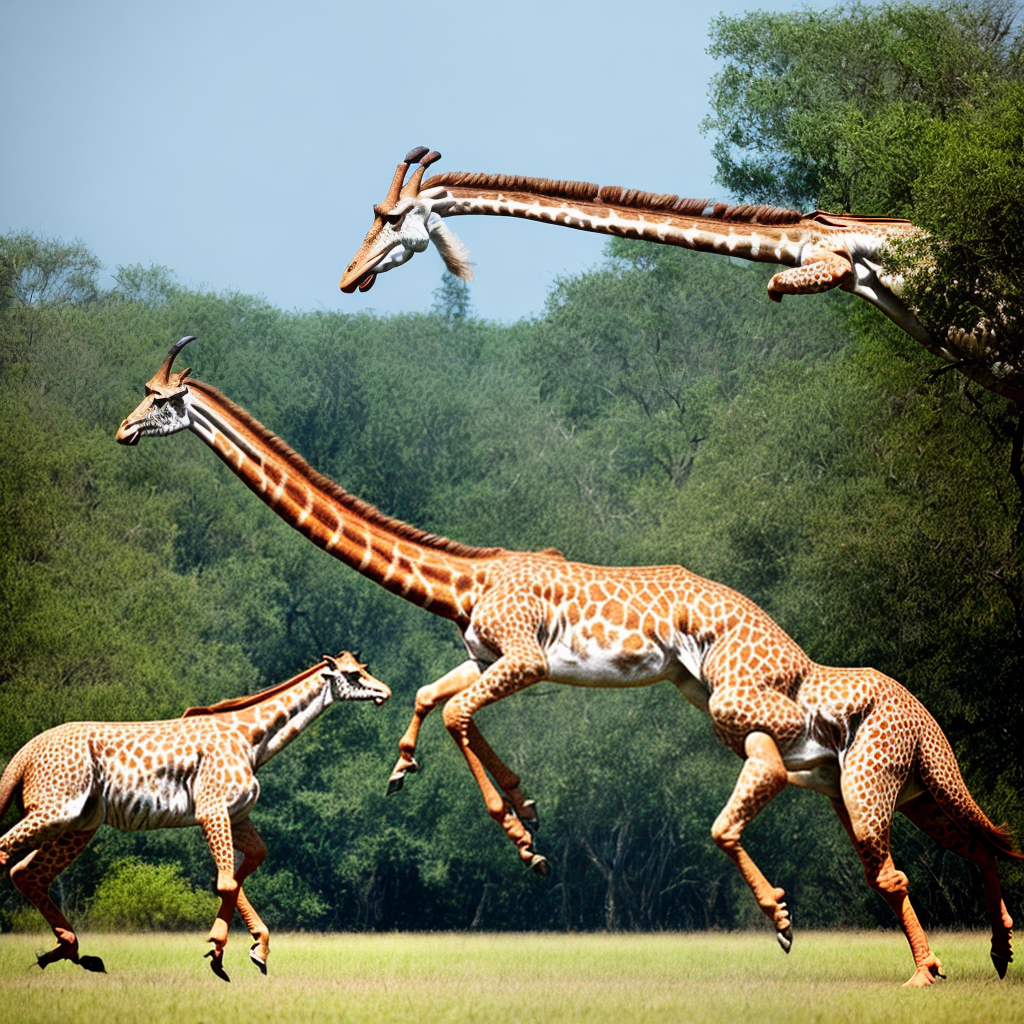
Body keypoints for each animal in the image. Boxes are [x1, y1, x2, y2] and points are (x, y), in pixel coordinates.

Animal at [0, 652, 389, 979]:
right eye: (354, 674)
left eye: (364, 667)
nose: (384, 692)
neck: (252, 740)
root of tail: (23, 756)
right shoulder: (211, 809)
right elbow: (227, 882)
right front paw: (219, 950)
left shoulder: (236, 815)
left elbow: (242, 871)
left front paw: (257, 948)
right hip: (55, 810)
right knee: (7, 852)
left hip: (78, 824)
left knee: (26, 873)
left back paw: (69, 951)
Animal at [114, 337, 1021, 985]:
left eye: (159, 400)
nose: (122, 431)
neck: (465, 577)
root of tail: (793, 653)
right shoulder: (485, 653)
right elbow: (432, 698)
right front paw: (450, 785)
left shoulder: (524, 656)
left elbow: (457, 712)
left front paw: (521, 833)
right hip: (803, 745)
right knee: (938, 825)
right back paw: (986, 948)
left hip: (744, 704)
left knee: (813, 793)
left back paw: (831, 931)